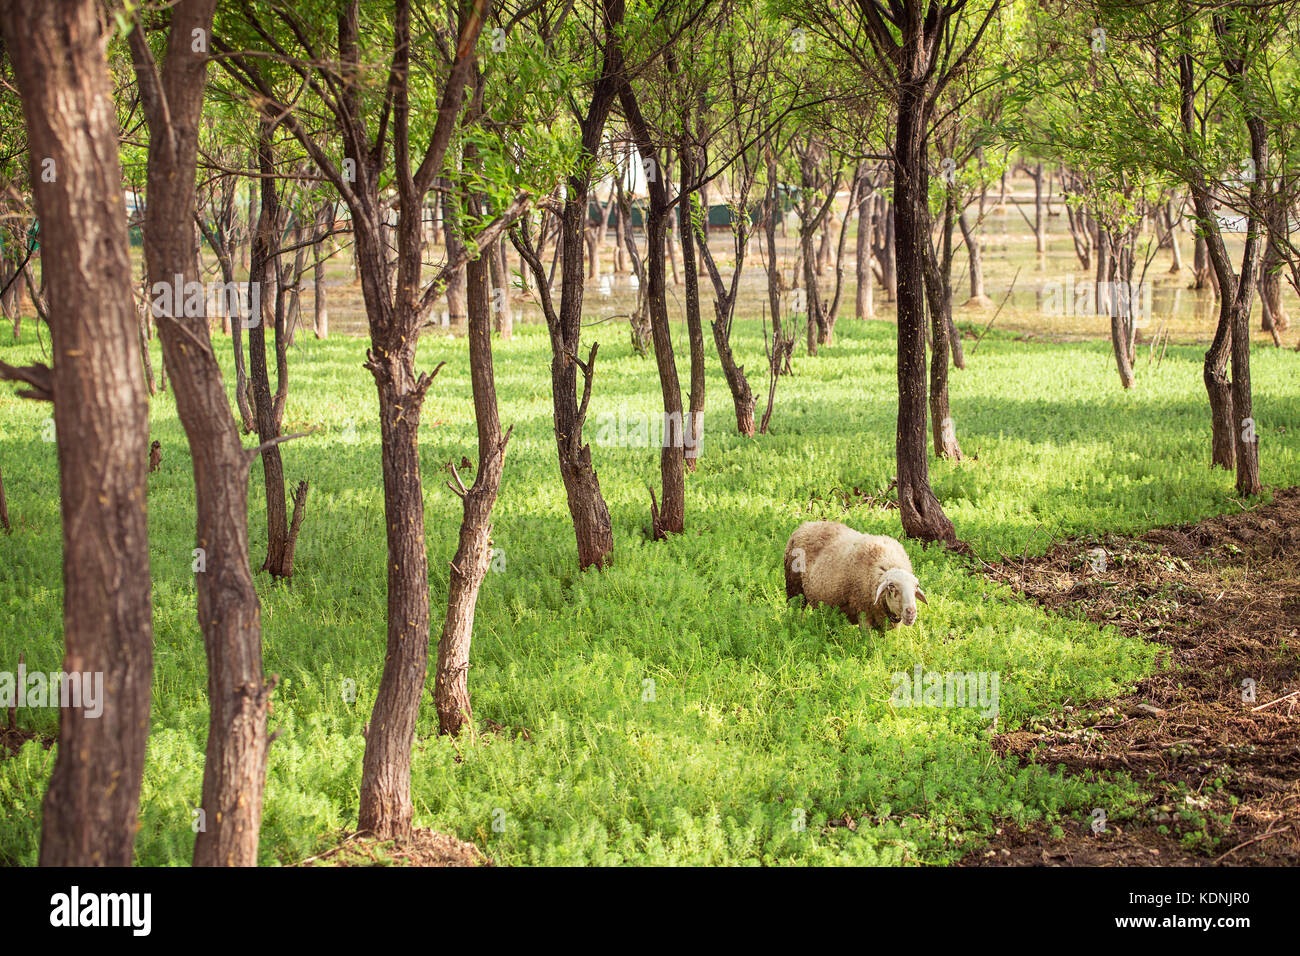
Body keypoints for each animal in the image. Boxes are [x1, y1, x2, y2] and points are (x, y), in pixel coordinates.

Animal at [784, 521, 927, 631]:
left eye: (916, 587)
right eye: (891, 586)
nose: (911, 612)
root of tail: (805, 525)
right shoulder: (863, 612)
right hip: (794, 588)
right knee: (795, 611)